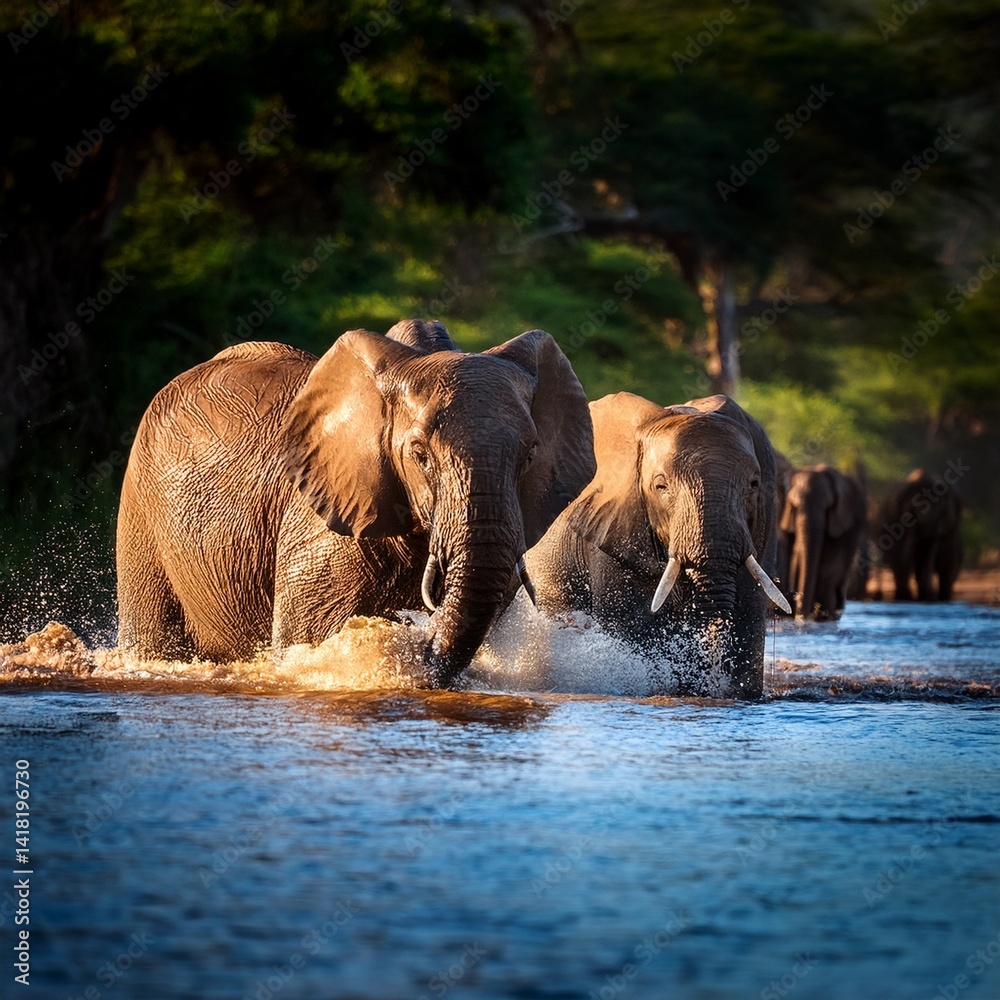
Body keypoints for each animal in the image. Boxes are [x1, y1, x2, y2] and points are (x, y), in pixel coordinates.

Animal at [116, 319, 596, 686]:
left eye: (530, 455)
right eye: (419, 454)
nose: (420, 631)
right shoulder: (316, 541)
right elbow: (309, 638)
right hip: (140, 506)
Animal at [523, 392, 790, 699]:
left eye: (754, 484)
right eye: (661, 486)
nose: (713, 686)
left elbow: (748, 612)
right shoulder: (613, 525)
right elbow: (636, 624)